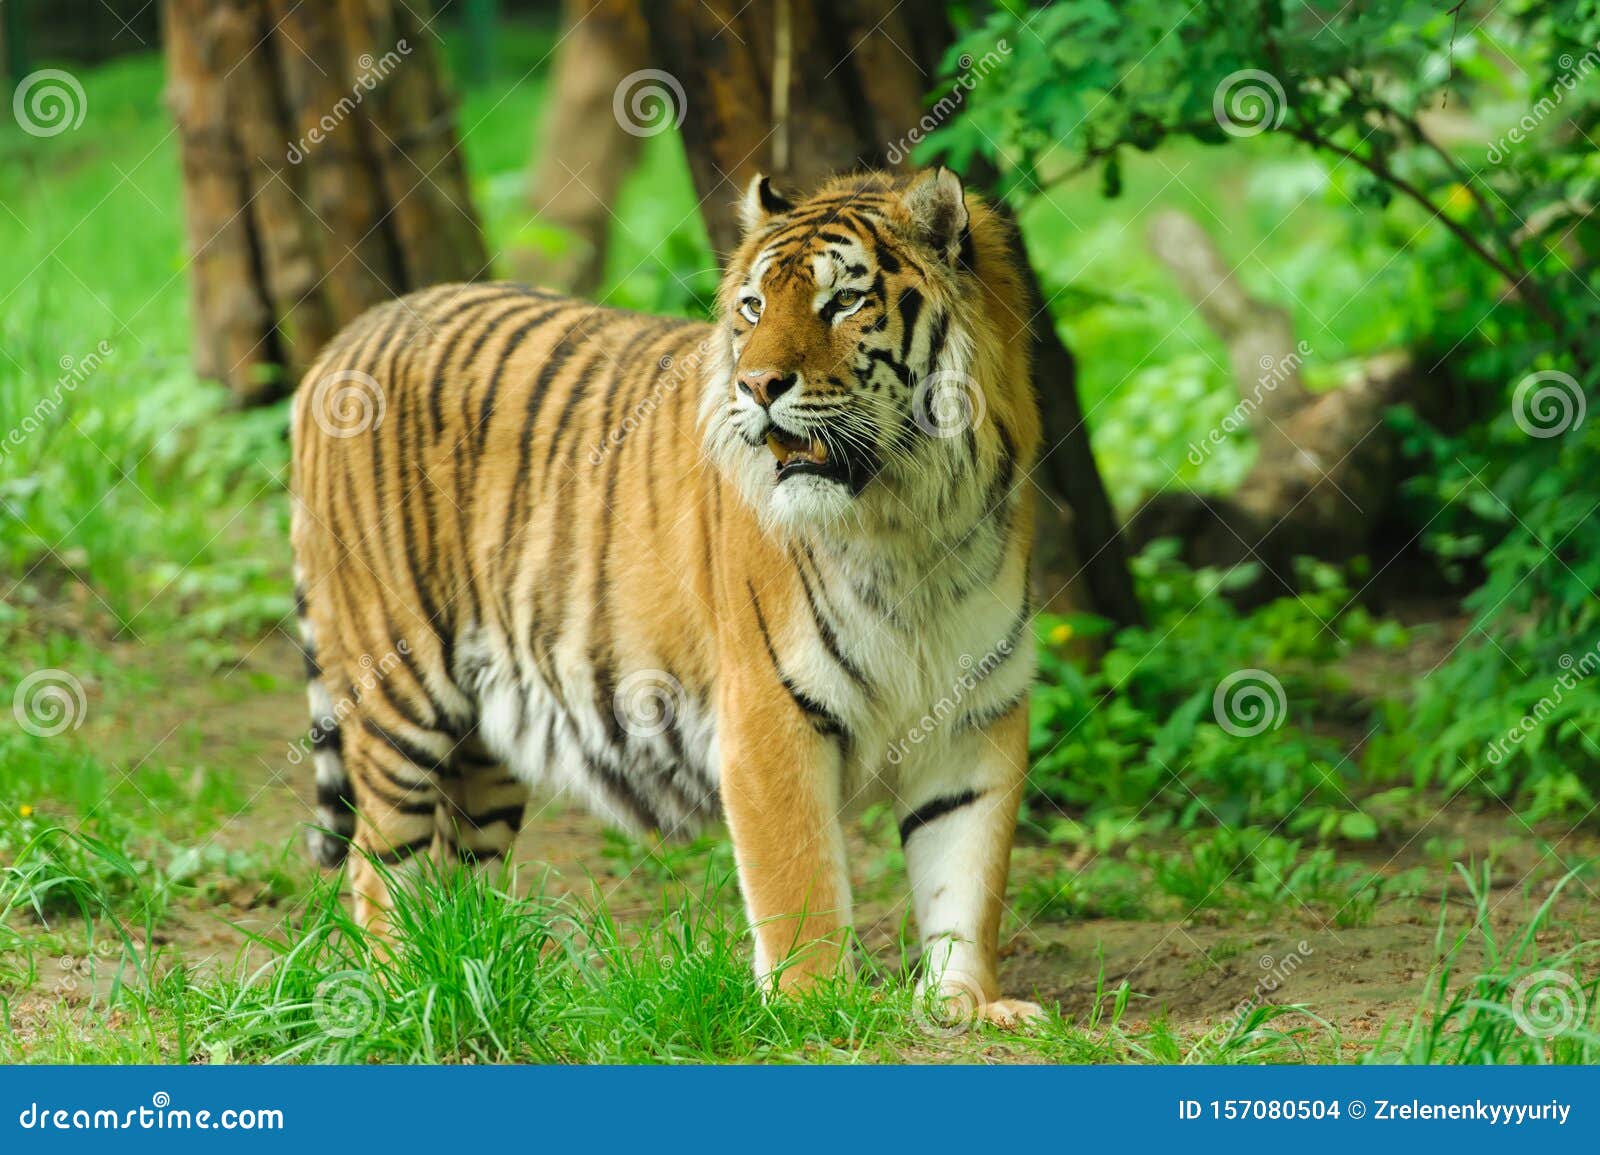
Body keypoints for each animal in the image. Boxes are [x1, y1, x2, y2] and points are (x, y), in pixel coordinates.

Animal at [289, 167, 1044, 1026]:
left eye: (845, 302)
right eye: (753, 307)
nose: (756, 385)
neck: (908, 522)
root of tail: (349, 338)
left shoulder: (975, 711)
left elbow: (965, 875)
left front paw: (968, 1004)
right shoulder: (769, 713)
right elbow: (800, 882)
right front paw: (812, 1007)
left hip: (485, 744)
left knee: (458, 871)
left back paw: (468, 977)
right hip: (400, 690)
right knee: (377, 864)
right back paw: (395, 994)